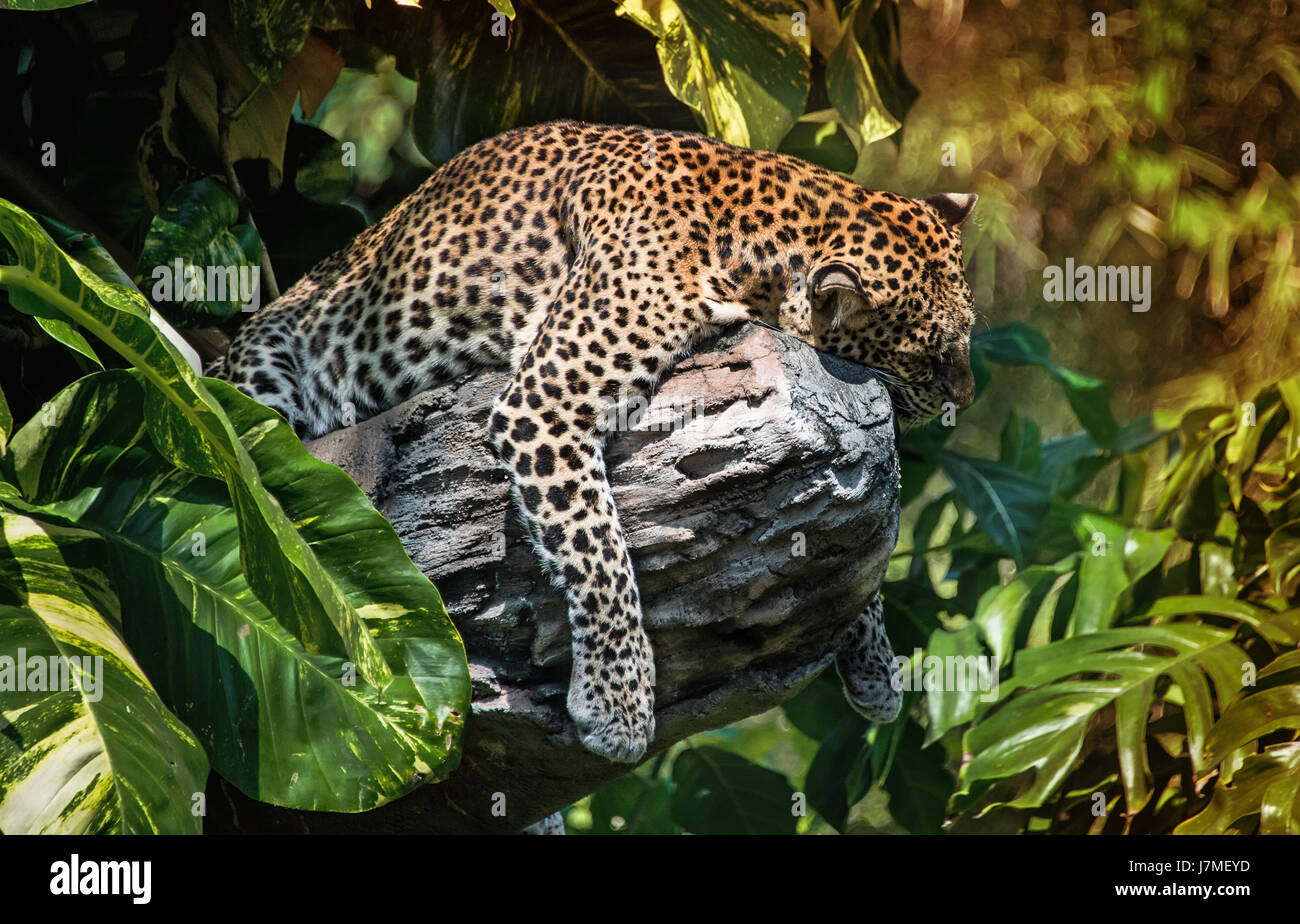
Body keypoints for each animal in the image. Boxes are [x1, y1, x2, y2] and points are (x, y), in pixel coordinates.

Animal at [217, 119, 978, 764]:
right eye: (935, 355)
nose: (966, 400)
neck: (751, 236)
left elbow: (853, 557)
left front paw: (874, 664)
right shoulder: (545, 403)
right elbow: (598, 548)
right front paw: (619, 704)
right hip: (264, 377)